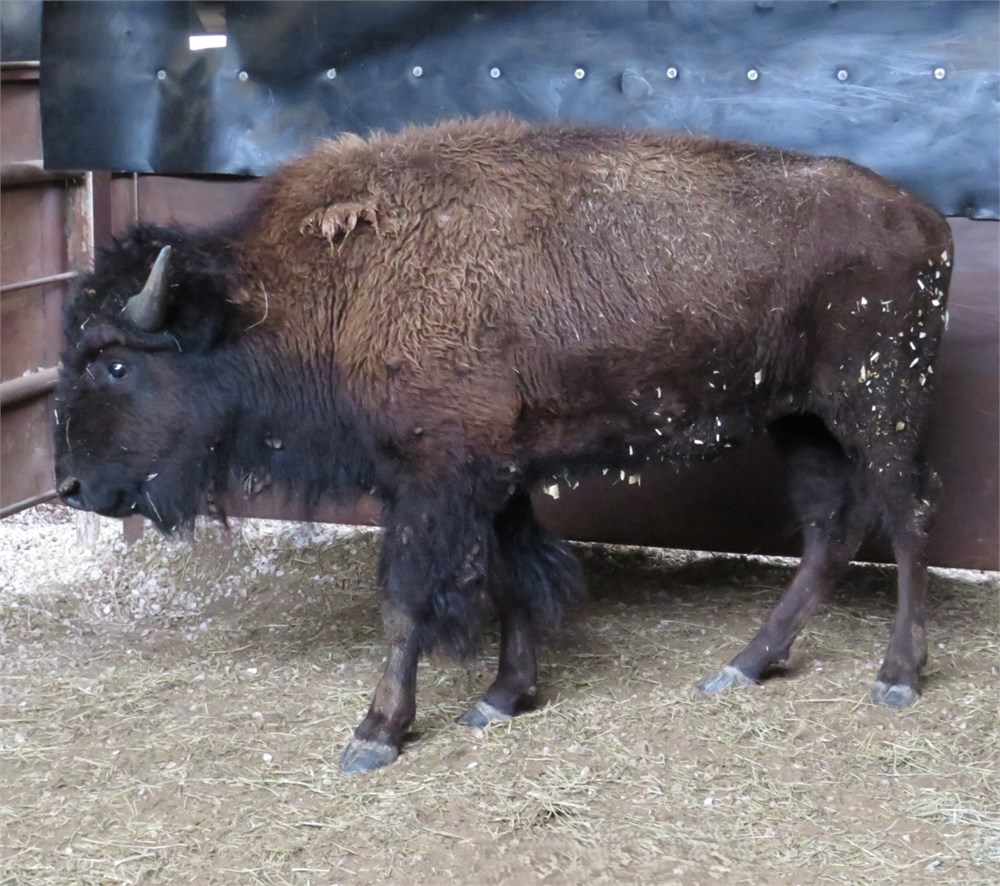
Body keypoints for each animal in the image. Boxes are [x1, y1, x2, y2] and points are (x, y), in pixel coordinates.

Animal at [54, 115, 952, 772]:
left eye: (118, 363)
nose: (72, 487)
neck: (326, 287)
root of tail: (925, 218)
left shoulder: (435, 480)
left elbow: (408, 600)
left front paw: (375, 734)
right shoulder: (499, 476)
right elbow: (518, 577)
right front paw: (501, 697)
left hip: (877, 406)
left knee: (907, 524)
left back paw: (897, 678)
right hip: (801, 419)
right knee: (830, 531)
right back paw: (744, 665)